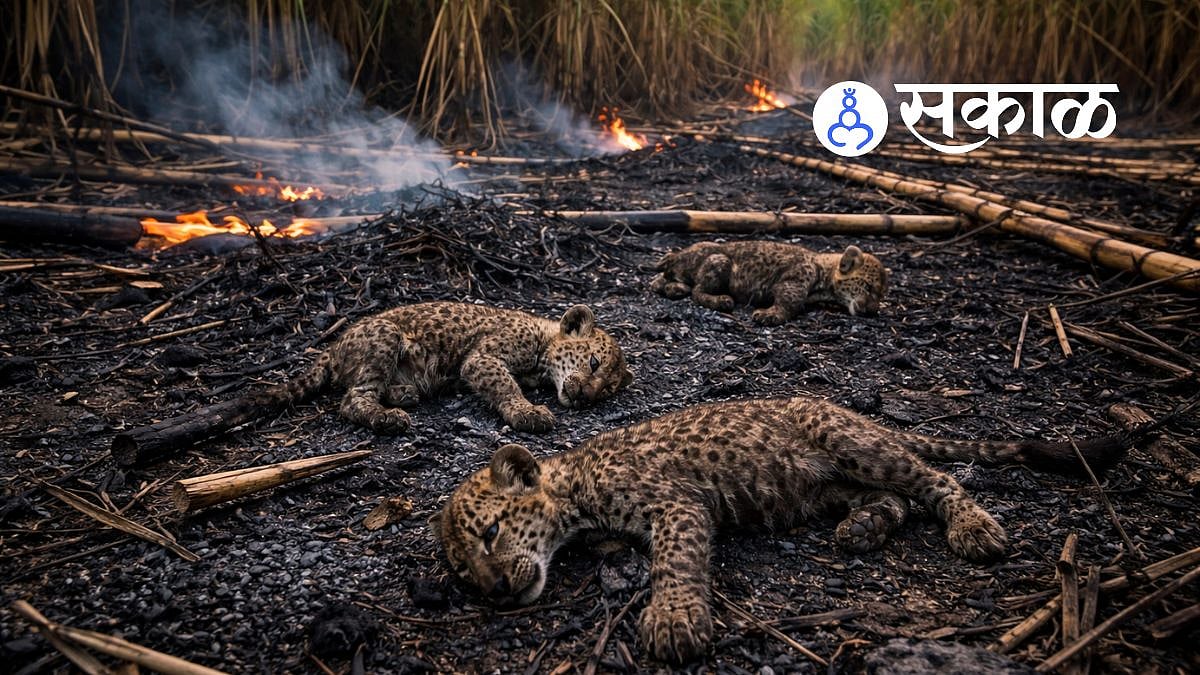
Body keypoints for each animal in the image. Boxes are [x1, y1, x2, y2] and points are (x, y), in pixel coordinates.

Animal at [244, 302, 633, 434]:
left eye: (606, 391)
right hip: (384, 336)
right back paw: (387, 417)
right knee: (352, 398)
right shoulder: (482, 359)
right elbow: (506, 385)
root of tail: (333, 346)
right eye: (593, 363)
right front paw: (527, 412)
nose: (585, 396)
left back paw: (404, 393)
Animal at [430, 396, 1135, 664]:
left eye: (491, 534)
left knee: (935, 479)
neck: (573, 487)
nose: (496, 591)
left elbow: (674, 561)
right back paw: (861, 529)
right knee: (892, 500)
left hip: (853, 443)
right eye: (465, 572)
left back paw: (975, 526)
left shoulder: (678, 505)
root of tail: (856, 412)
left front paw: (674, 621)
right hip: (824, 485)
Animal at [650, 240, 890, 323]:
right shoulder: (792, 282)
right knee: (697, 292)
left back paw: (673, 287)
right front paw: (770, 315)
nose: (872, 310)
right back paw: (721, 300)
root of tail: (678, 256)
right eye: (868, 287)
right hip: (720, 260)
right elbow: (790, 302)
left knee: (665, 280)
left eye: (880, 295)